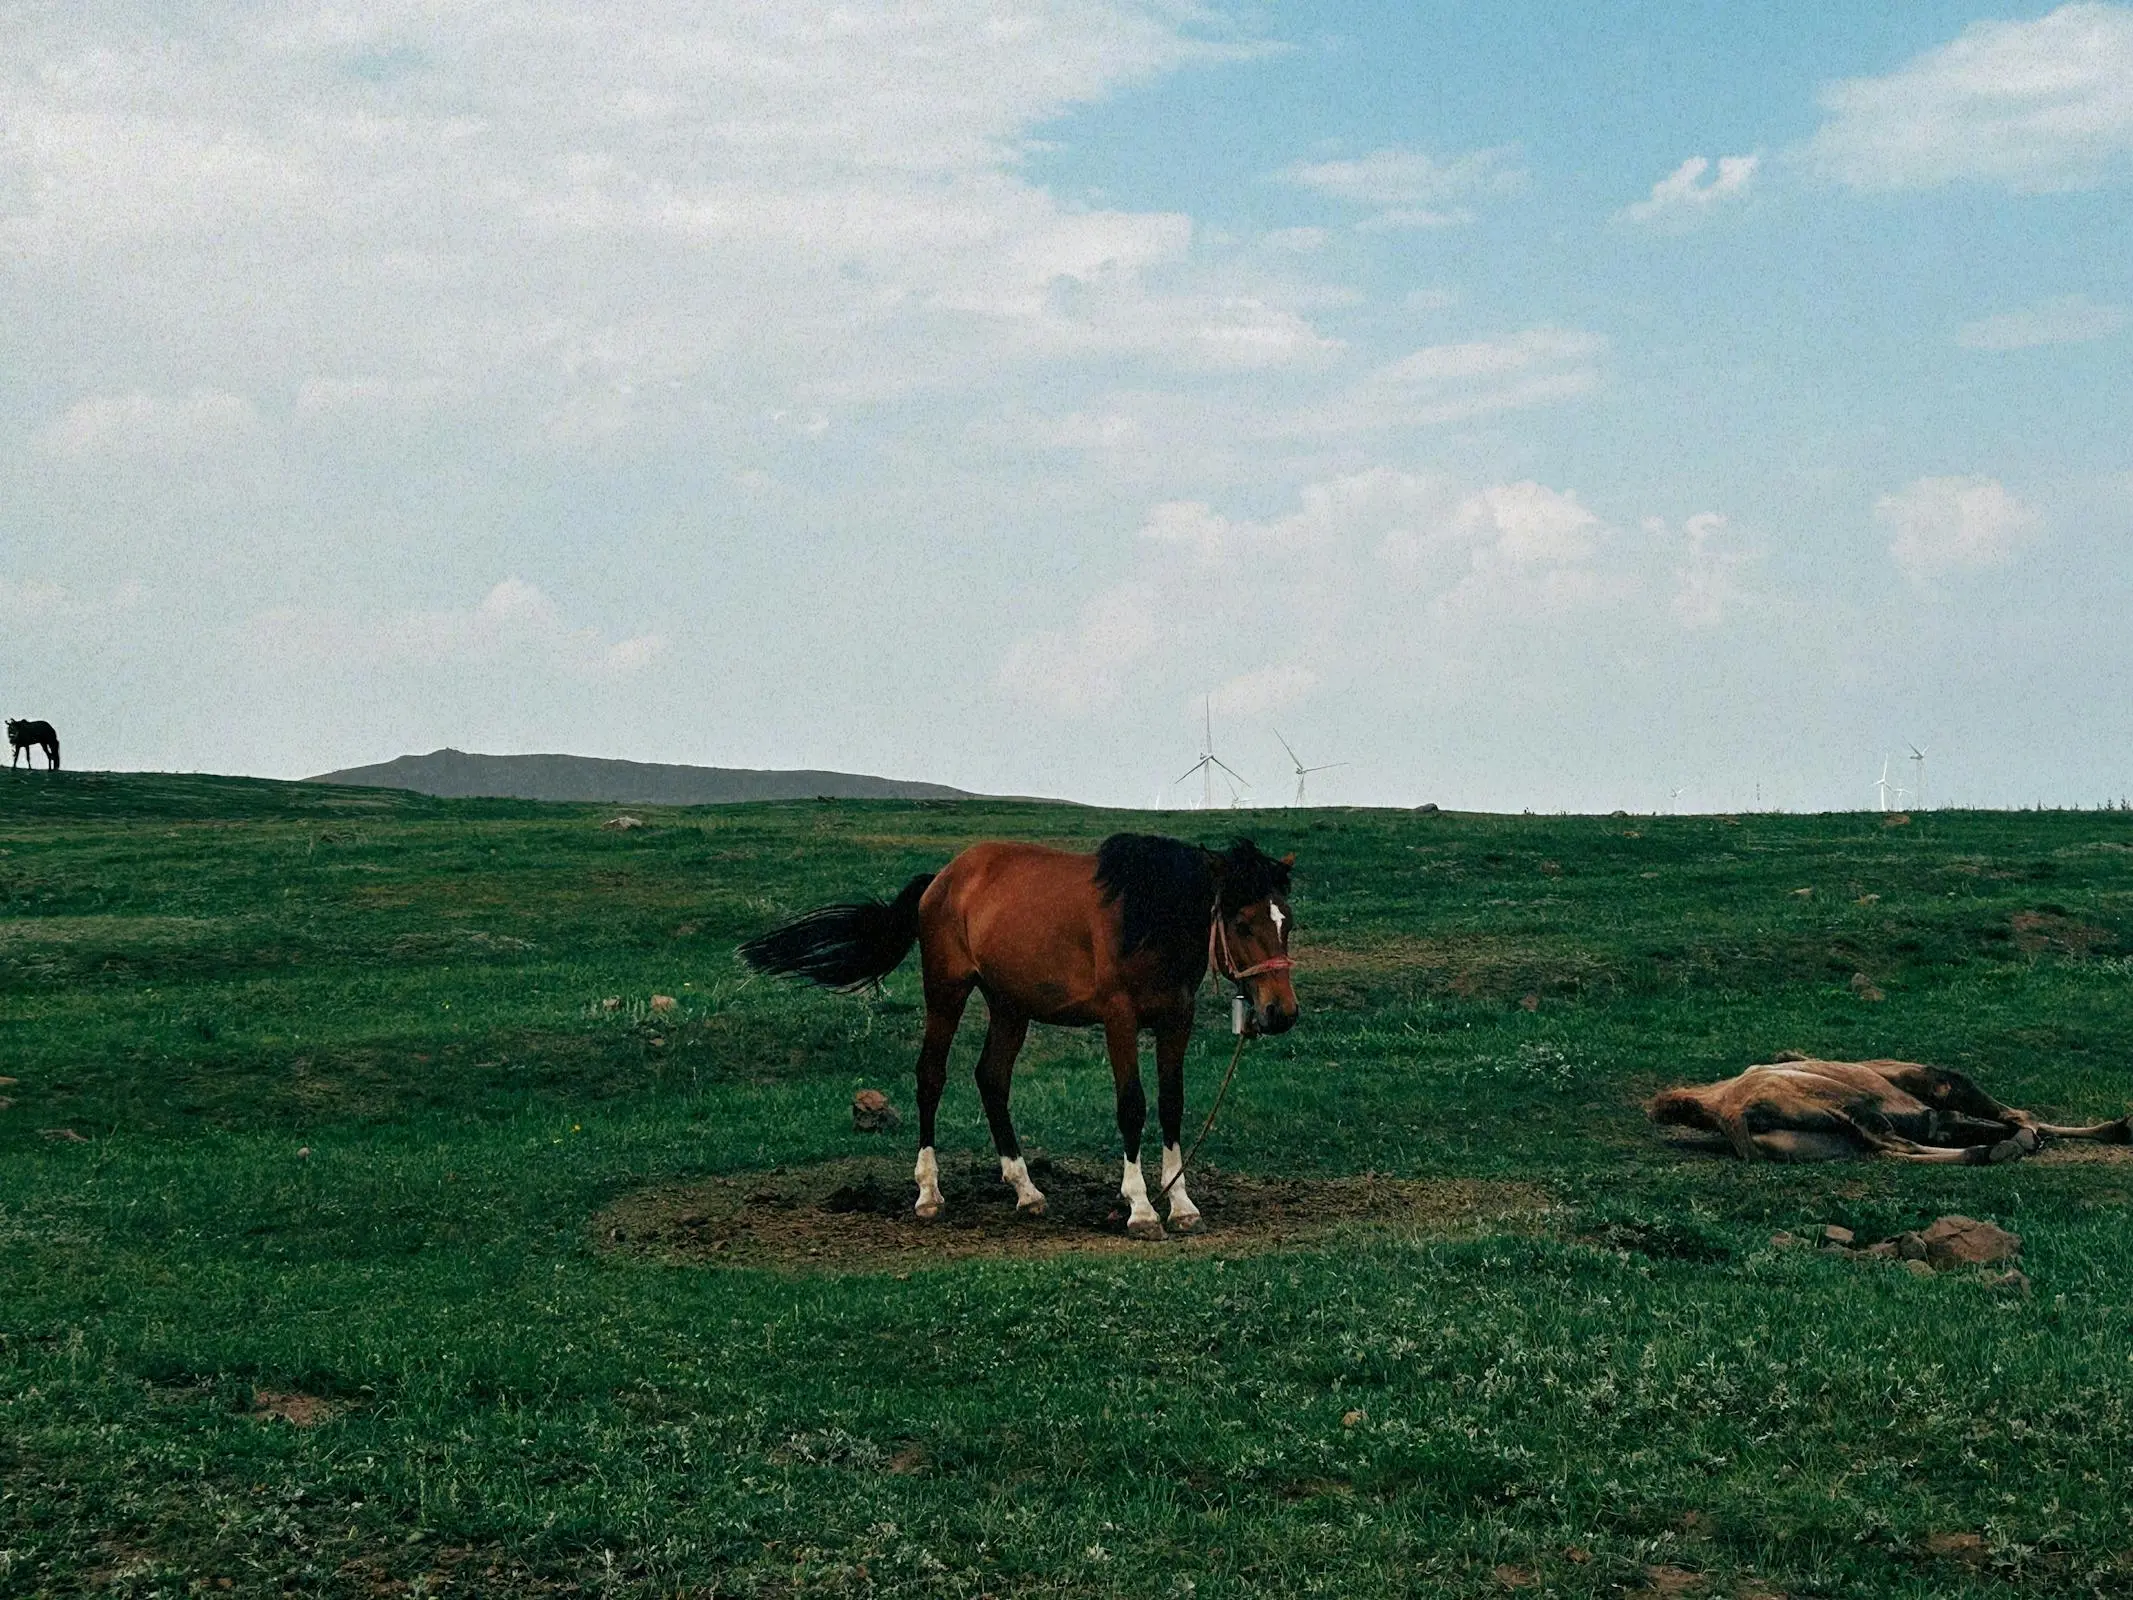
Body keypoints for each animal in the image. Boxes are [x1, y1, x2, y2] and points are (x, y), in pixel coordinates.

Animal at [740, 834, 1298, 1237]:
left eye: (1285, 921)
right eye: (1241, 922)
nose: (1281, 1012)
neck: (1144, 916)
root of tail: (943, 879)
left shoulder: (1175, 1019)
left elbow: (1172, 1104)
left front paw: (1181, 1204)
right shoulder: (1118, 1018)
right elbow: (1133, 1106)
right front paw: (1140, 1208)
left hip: (1010, 1007)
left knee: (992, 1079)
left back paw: (1025, 1190)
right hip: (946, 991)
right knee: (931, 1077)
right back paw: (928, 1194)